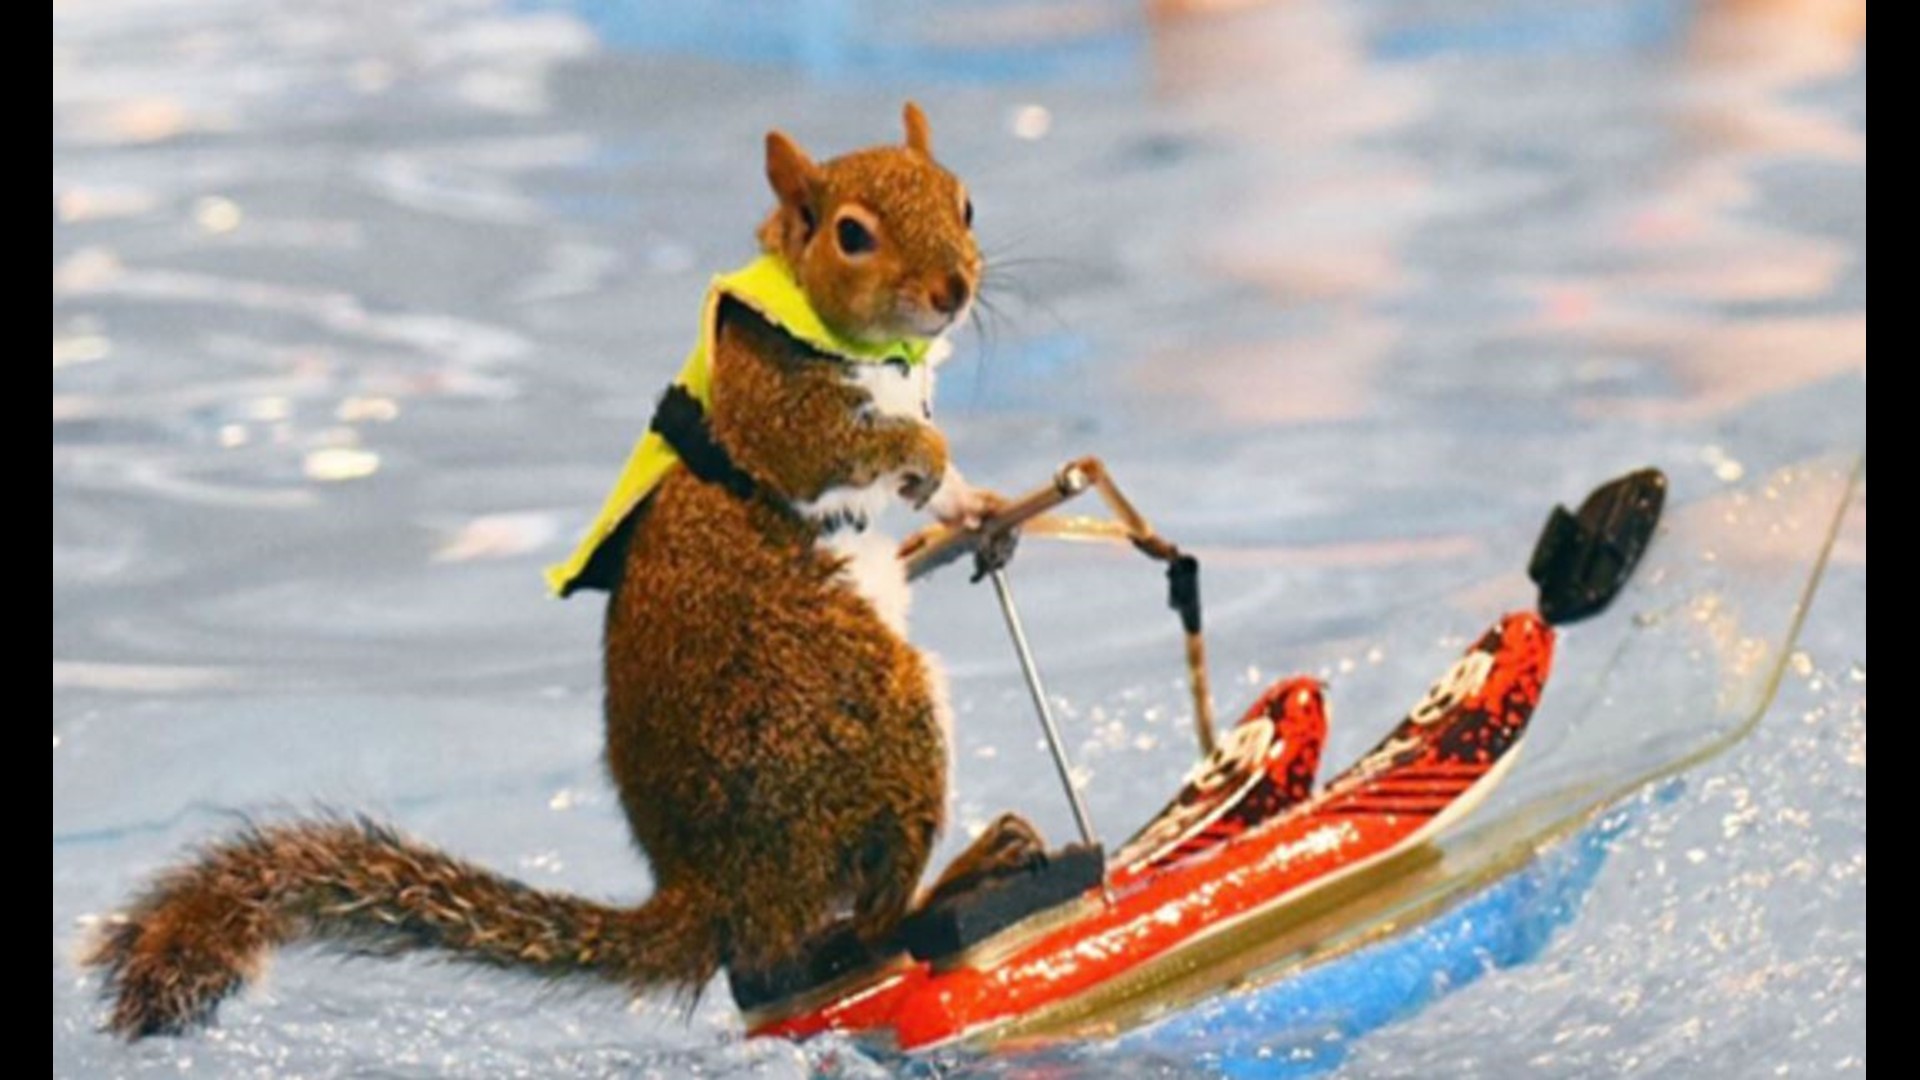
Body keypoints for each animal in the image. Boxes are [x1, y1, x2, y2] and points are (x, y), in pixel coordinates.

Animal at [86, 103, 1046, 1038]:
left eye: (964, 202)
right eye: (852, 234)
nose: (953, 291)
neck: (867, 351)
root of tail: (719, 898)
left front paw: (976, 507)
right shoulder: (772, 409)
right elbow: (836, 449)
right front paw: (928, 454)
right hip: (872, 725)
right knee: (870, 922)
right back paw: (962, 875)